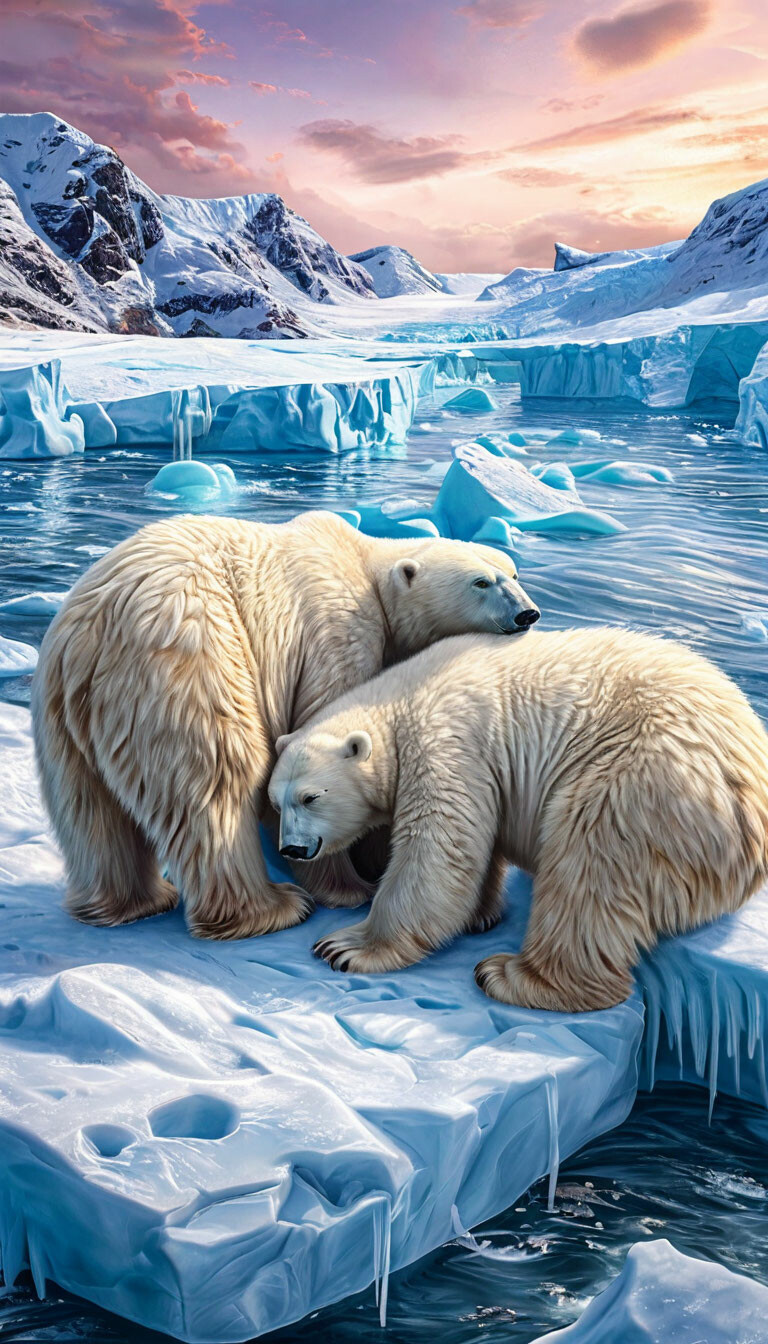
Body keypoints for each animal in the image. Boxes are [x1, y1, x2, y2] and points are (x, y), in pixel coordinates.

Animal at [32, 510, 539, 940]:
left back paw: (131, 903)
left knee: (88, 808)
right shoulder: (339, 632)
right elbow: (324, 739)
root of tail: (93, 634)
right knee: (218, 777)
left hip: (62, 710)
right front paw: (352, 885)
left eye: (514, 573)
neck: (365, 566)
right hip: (188, 660)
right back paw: (269, 909)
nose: (528, 613)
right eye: (480, 582)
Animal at [269, 627, 768, 1011]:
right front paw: (479, 916)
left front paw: (345, 946)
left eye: (310, 798)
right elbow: (475, 844)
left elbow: (438, 845)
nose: (291, 847)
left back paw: (514, 977)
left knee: (589, 866)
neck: (401, 696)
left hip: (641, 778)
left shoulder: (446, 740)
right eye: (276, 802)